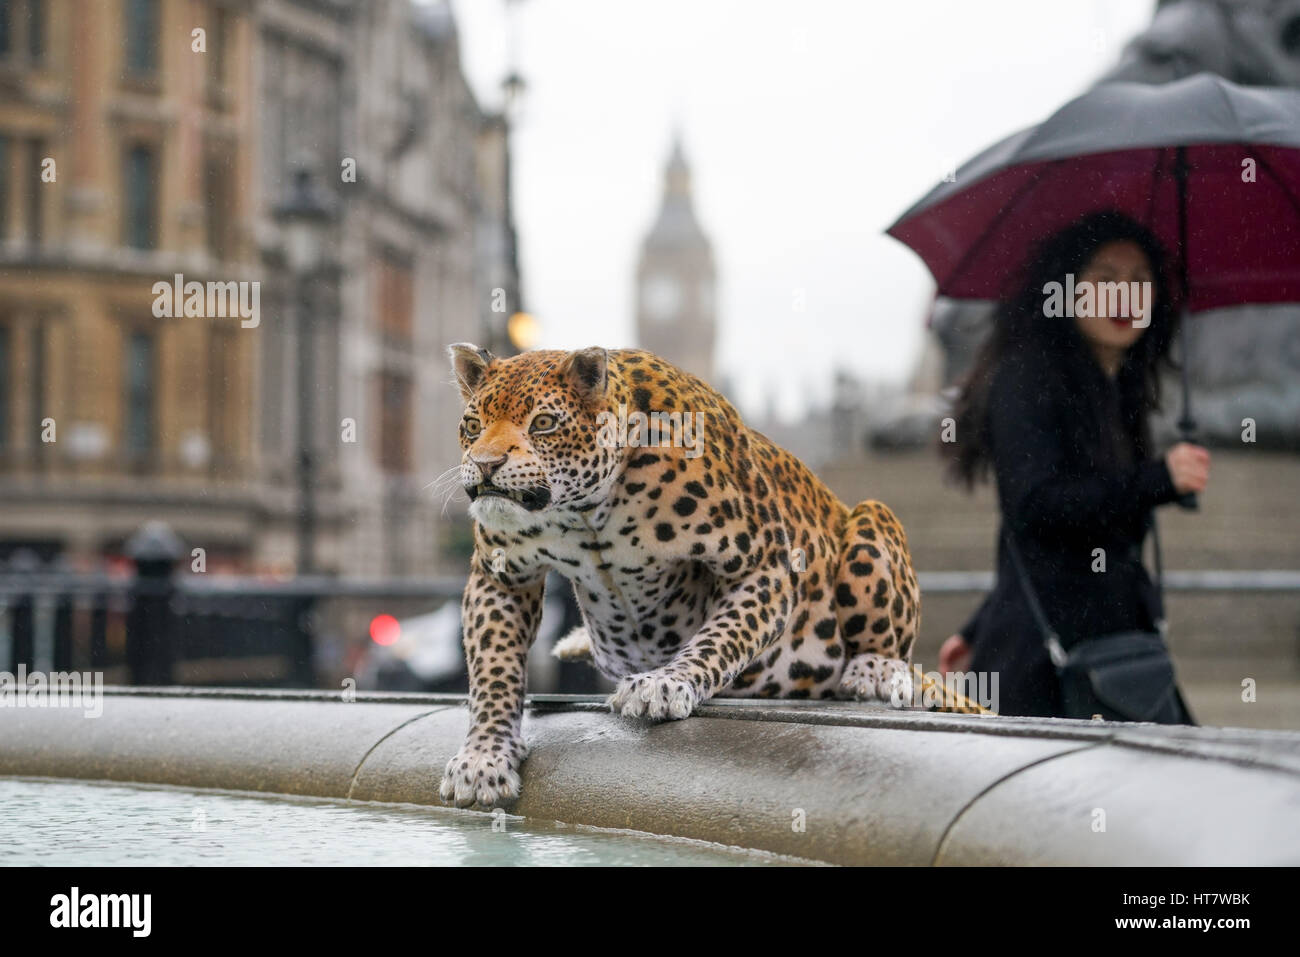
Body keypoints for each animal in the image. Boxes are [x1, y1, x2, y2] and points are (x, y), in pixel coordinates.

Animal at [439, 343, 989, 809]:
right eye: (471, 424)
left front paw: (664, 685)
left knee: (891, 654)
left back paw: (875, 671)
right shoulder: (501, 575)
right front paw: (484, 757)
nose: (484, 465)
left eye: (544, 423)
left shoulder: (762, 563)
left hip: (871, 520)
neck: (587, 511)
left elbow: (721, 638)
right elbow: (494, 671)